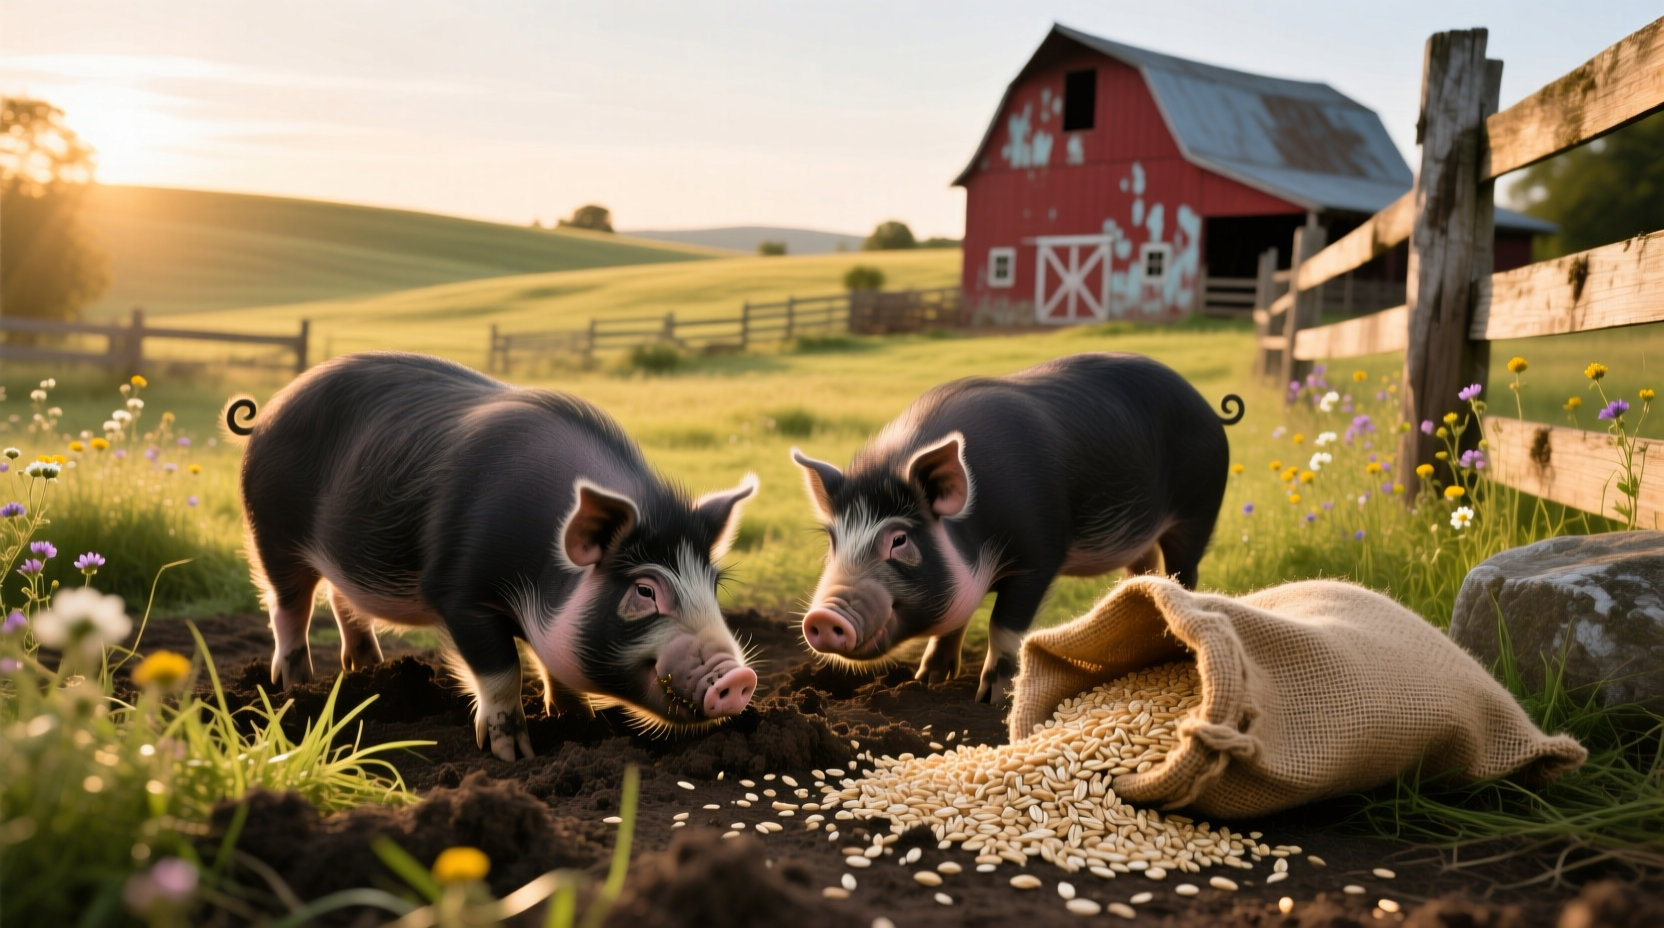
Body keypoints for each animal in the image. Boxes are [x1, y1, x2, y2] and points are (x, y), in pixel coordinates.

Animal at [226, 351, 759, 760]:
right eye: (645, 591)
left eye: (713, 588)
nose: (738, 677)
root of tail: (269, 409)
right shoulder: (459, 594)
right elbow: (502, 670)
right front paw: (513, 755)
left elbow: (552, 668)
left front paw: (580, 722)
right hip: (269, 532)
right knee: (287, 606)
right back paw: (296, 686)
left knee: (342, 600)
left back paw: (364, 668)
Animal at [790, 352, 1242, 704]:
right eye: (833, 541)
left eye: (899, 540)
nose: (822, 618)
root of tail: (1208, 408)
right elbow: (955, 622)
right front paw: (928, 680)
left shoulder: (1039, 557)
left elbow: (1003, 626)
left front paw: (992, 699)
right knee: (1143, 568)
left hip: (1200, 509)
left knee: (1185, 570)